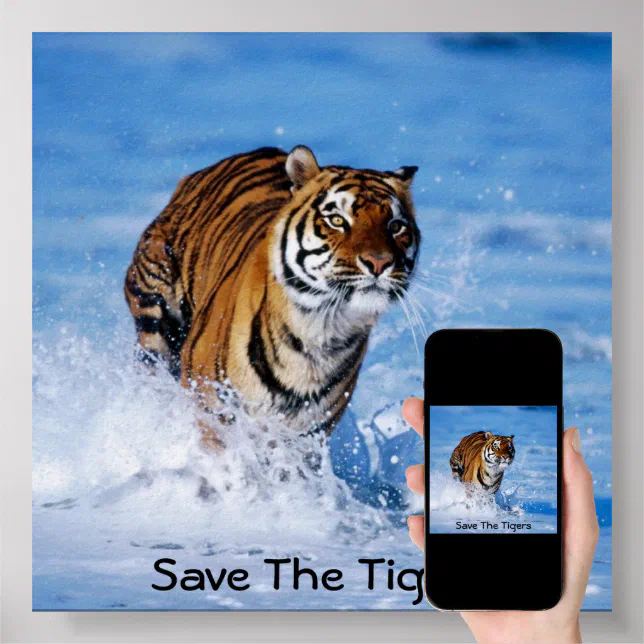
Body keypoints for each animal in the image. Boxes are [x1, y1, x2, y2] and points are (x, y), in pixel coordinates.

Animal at [124, 145, 420, 449]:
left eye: (396, 226)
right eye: (337, 220)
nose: (379, 262)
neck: (321, 331)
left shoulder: (308, 435)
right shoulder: (213, 410)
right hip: (155, 319)